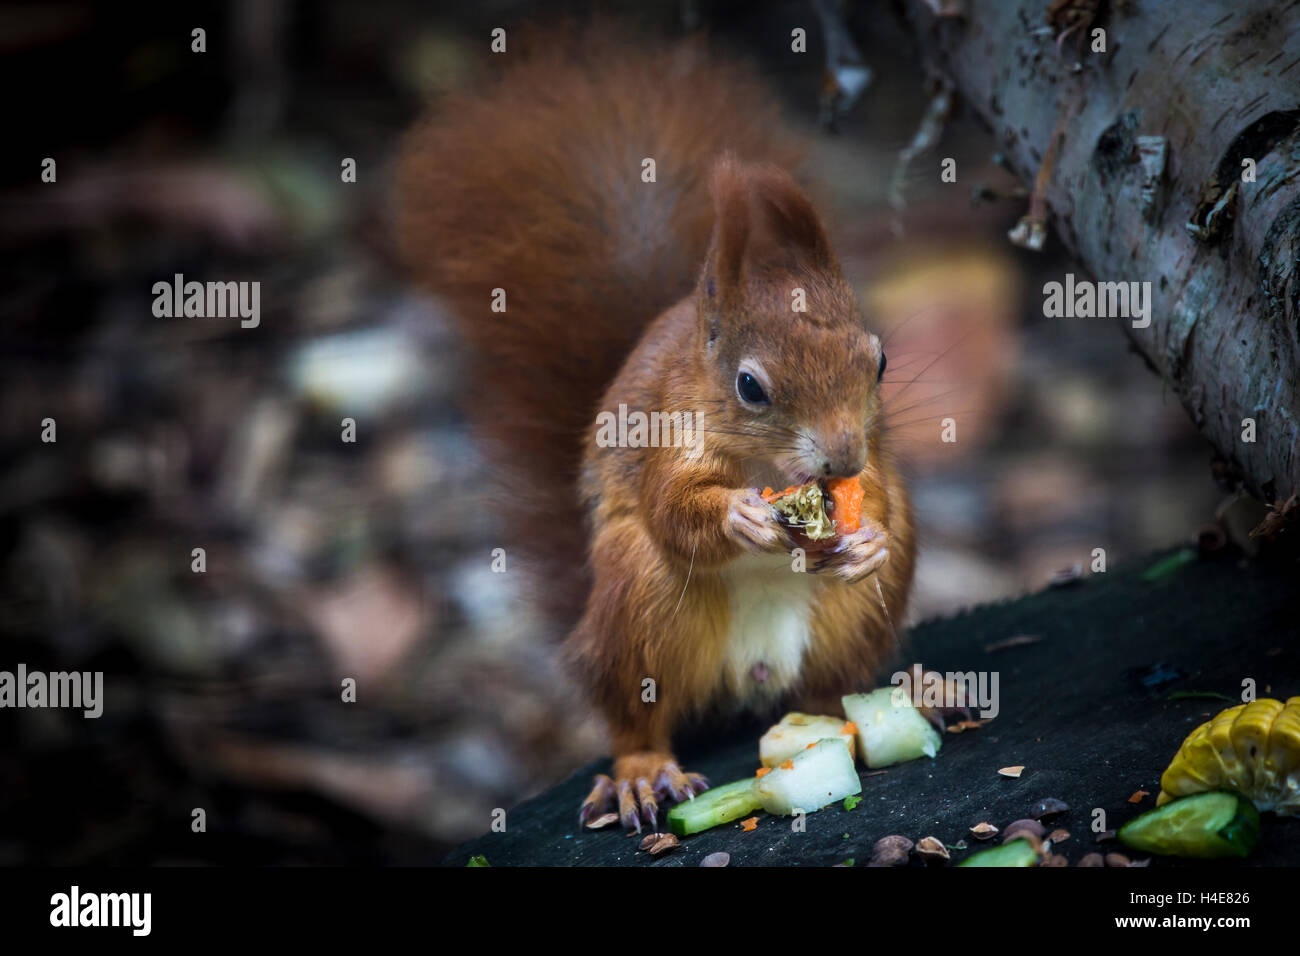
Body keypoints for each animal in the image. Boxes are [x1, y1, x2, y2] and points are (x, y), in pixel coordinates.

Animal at [397, 24, 915, 832]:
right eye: (750, 387)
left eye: (880, 360)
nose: (838, 460)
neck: (772, 471)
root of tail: (750, 676)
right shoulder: (665, 439)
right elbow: (672, 509)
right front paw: (736, 518)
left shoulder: (878, 449)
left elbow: (882, 495)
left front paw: (868, 540)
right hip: (636, 599)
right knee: (635, 711)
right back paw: (642, 773)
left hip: (851, 624)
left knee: (829, 686)